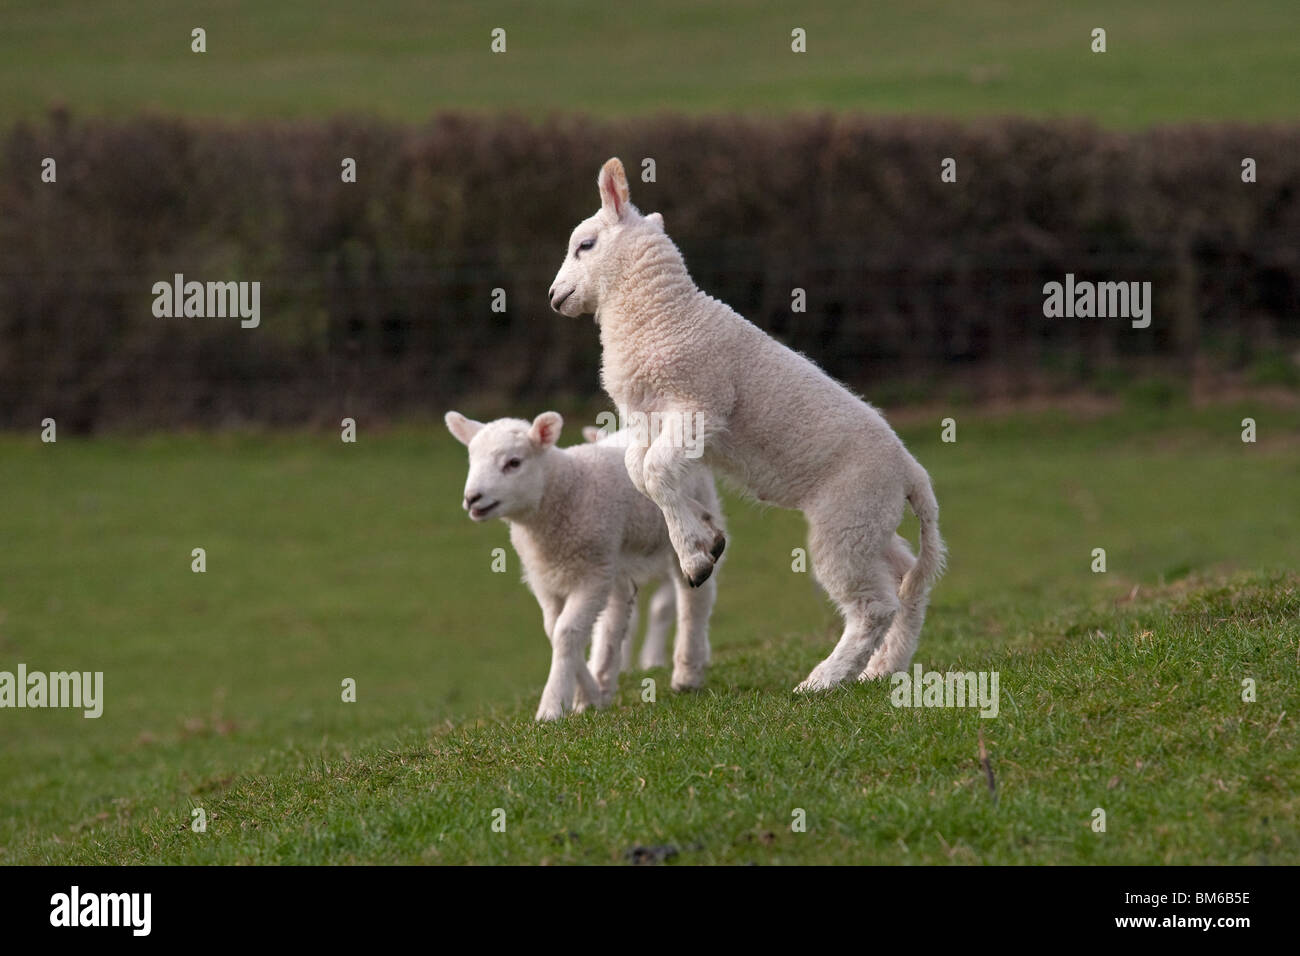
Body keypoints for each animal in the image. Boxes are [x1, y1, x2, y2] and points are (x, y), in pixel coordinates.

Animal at [445, 409, 721, 721]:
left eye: (513, 462)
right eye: (472, 460)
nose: (472, 499)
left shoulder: (591, 576)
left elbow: (566, 632)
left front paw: (552, 706)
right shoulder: (547, 580)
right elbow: (554, 630)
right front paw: (589, 695)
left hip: (678, 528)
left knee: (694, 597)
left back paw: (688, 672)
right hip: (612, 559)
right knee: (616, 616)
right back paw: (604, 677)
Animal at [547, 158, 946, 692]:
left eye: (585, 245)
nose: (555, 297)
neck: (660, 315)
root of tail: (911, 473)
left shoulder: (699, 403)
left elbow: (654, 472)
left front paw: (696, 561)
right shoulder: (650, 419)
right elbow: (641, 473)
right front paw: (706, 536)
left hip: (846, 518)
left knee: (873, 605)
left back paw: (820, 681)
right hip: (870, 523)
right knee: (907, 583)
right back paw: (883, 669)